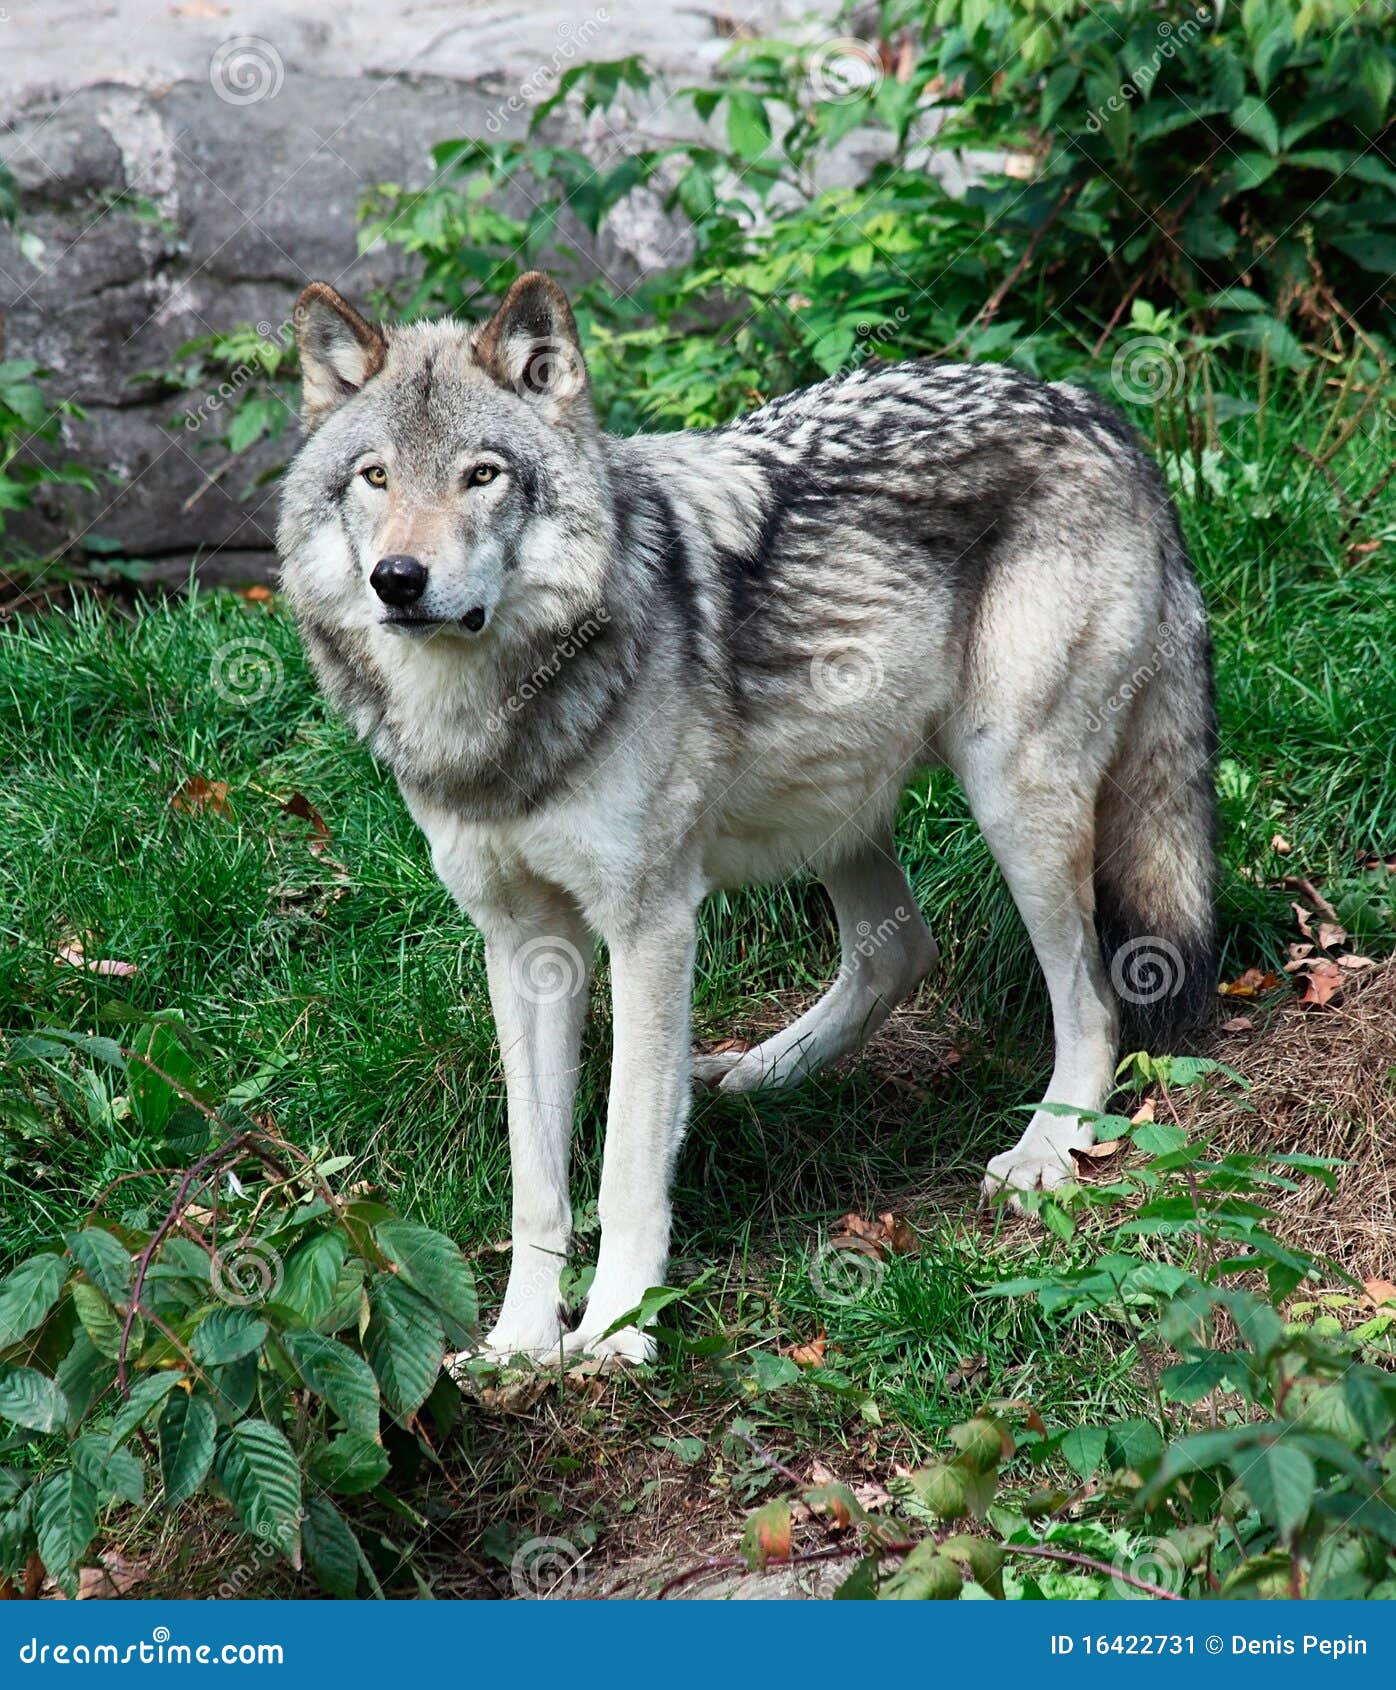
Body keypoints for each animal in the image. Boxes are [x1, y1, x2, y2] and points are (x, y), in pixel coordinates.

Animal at [278, 272, 1217, 1364]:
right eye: (375, 477)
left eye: (481, 476)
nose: (398, 580)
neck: (493, 722)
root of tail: (1100, 412)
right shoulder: (522, 942)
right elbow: (536, 1182)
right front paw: (519, 1343)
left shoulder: (649, 924)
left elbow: (626, 1158)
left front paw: (614, 1331)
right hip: (839, 805)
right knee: (899, 951)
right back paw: (759, 1071)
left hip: (1010, 790)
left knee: (1094, 997)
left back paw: (1047, 1144)